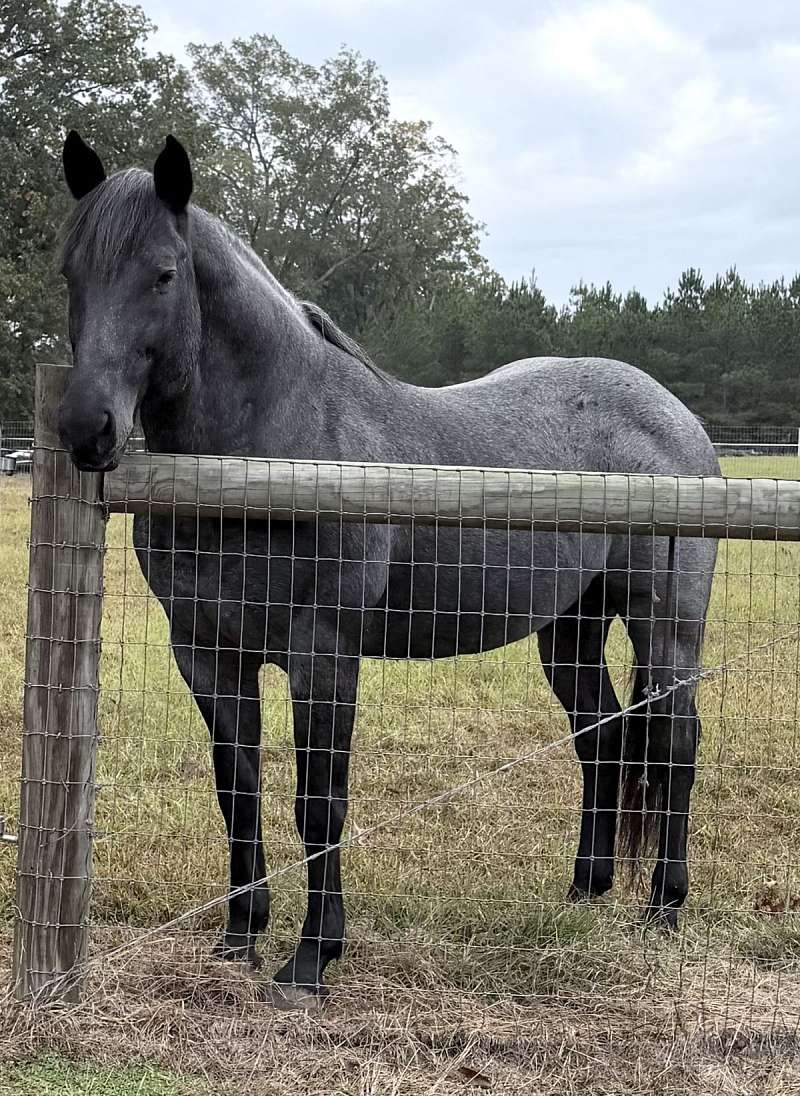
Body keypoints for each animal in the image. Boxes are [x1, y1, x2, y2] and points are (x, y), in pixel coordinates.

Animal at [57, 131, 719, 1006]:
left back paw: (663, 909)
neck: (267, 455)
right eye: (70, 272)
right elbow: (238, 792)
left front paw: (311, 961)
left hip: (665, 626)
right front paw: (238, 940)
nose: (85, 428)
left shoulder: (323, 654)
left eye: (163, 274)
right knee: (602, 739)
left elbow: (319, 803)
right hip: (568, 632)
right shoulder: (207, 655)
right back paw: (585, 891)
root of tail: (677, 417)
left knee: (675, 741)